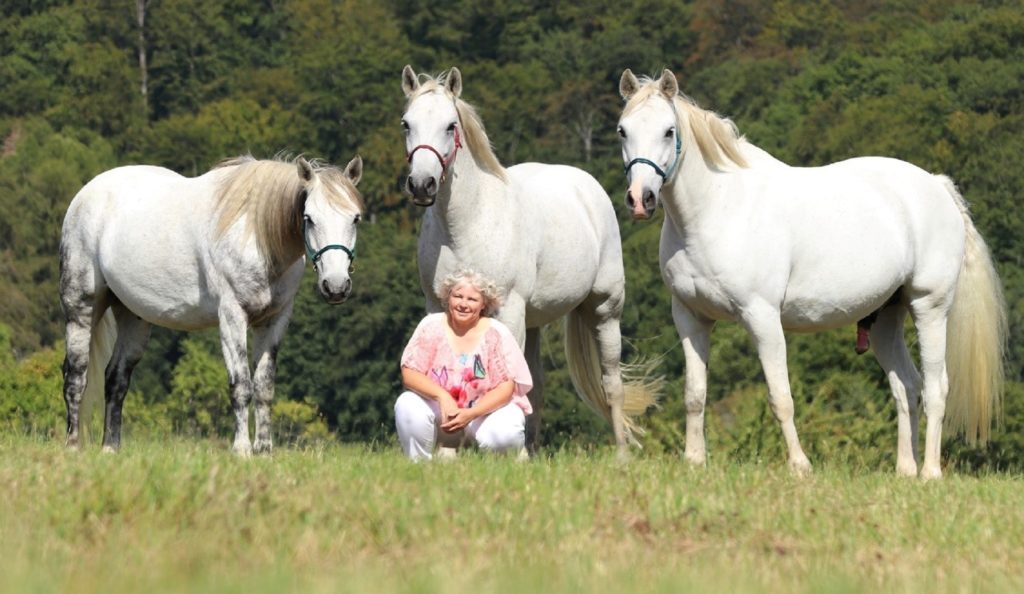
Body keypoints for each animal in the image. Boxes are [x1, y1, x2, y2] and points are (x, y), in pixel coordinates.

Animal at [59, 155, 364, 455]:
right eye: (309, 218)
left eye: (355, 218)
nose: (336, 286)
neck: (256, 235)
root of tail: (84, 195)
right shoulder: (232, 316)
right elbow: (241, 385)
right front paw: (242, 450)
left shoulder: (274, 320)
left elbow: (264, 387)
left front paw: (264, 451)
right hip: (82, 307)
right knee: (76, 375)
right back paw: (72, 446)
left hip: (133, 317)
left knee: (116, 379)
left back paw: (110, 449)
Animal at [400, 65, 657, 457]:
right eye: (406, 124)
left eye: (450, 125)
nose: (421, 184)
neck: (467, 224)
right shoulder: (437, 306)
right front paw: (447, 451)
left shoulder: (508, 310)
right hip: (534, 322)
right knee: (536, 386)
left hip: (604, 309)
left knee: (611, 384)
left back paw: (621, 455)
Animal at [616, 69, 1006, 479]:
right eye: (623, 130)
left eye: (669, 131)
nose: (640, 200)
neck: (719, 207)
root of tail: (938, 187)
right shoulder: (691, 317)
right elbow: (695, 394)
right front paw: (693, 461)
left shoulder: (762, 317)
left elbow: (781, 396)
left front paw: (800, 466)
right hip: (887, 317)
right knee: (907, 386)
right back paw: (905, 470)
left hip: (929, 307)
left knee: (935, 387)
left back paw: (930, 472)